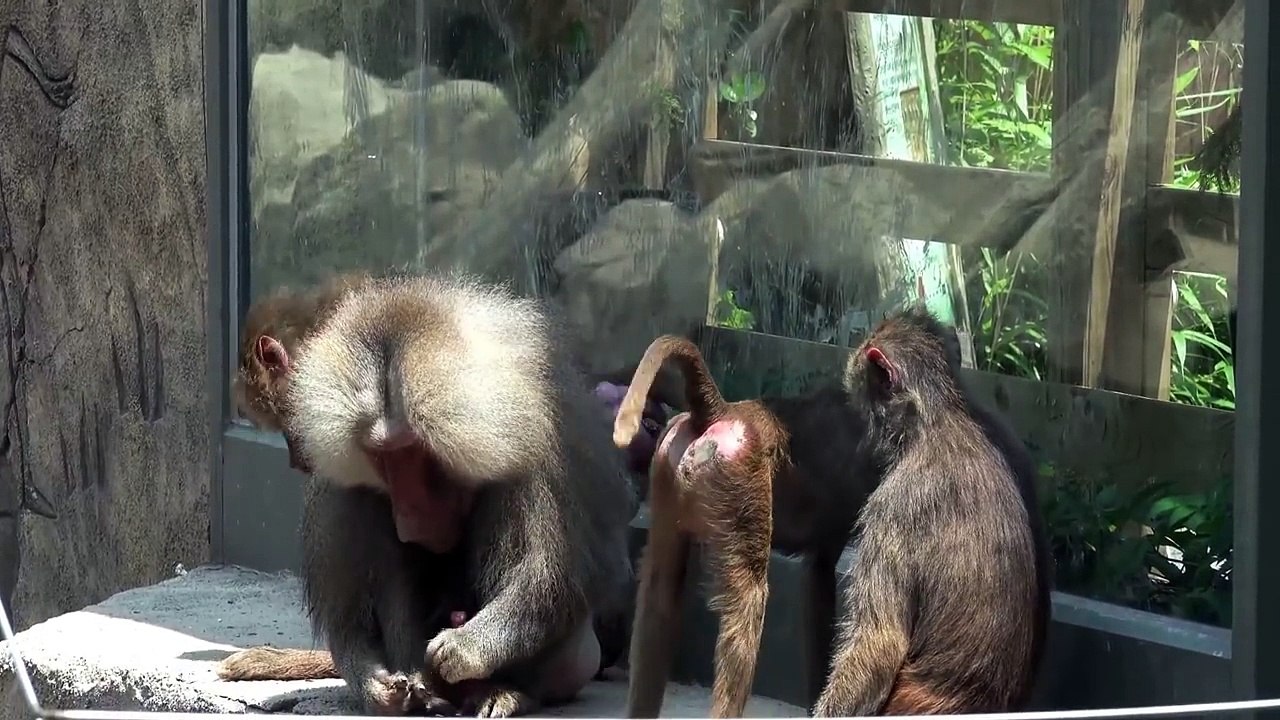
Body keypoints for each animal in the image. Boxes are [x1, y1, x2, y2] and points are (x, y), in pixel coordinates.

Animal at [227, 273, 637, 718]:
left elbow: (564, 574)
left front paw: (466, 649)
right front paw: (375, 683)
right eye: (381, 455)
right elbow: (348, 616)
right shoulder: (336, 479)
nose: (410, 519)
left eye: (416, 451)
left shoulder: (546, 436)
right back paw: (422, 685)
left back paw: (500, 691)